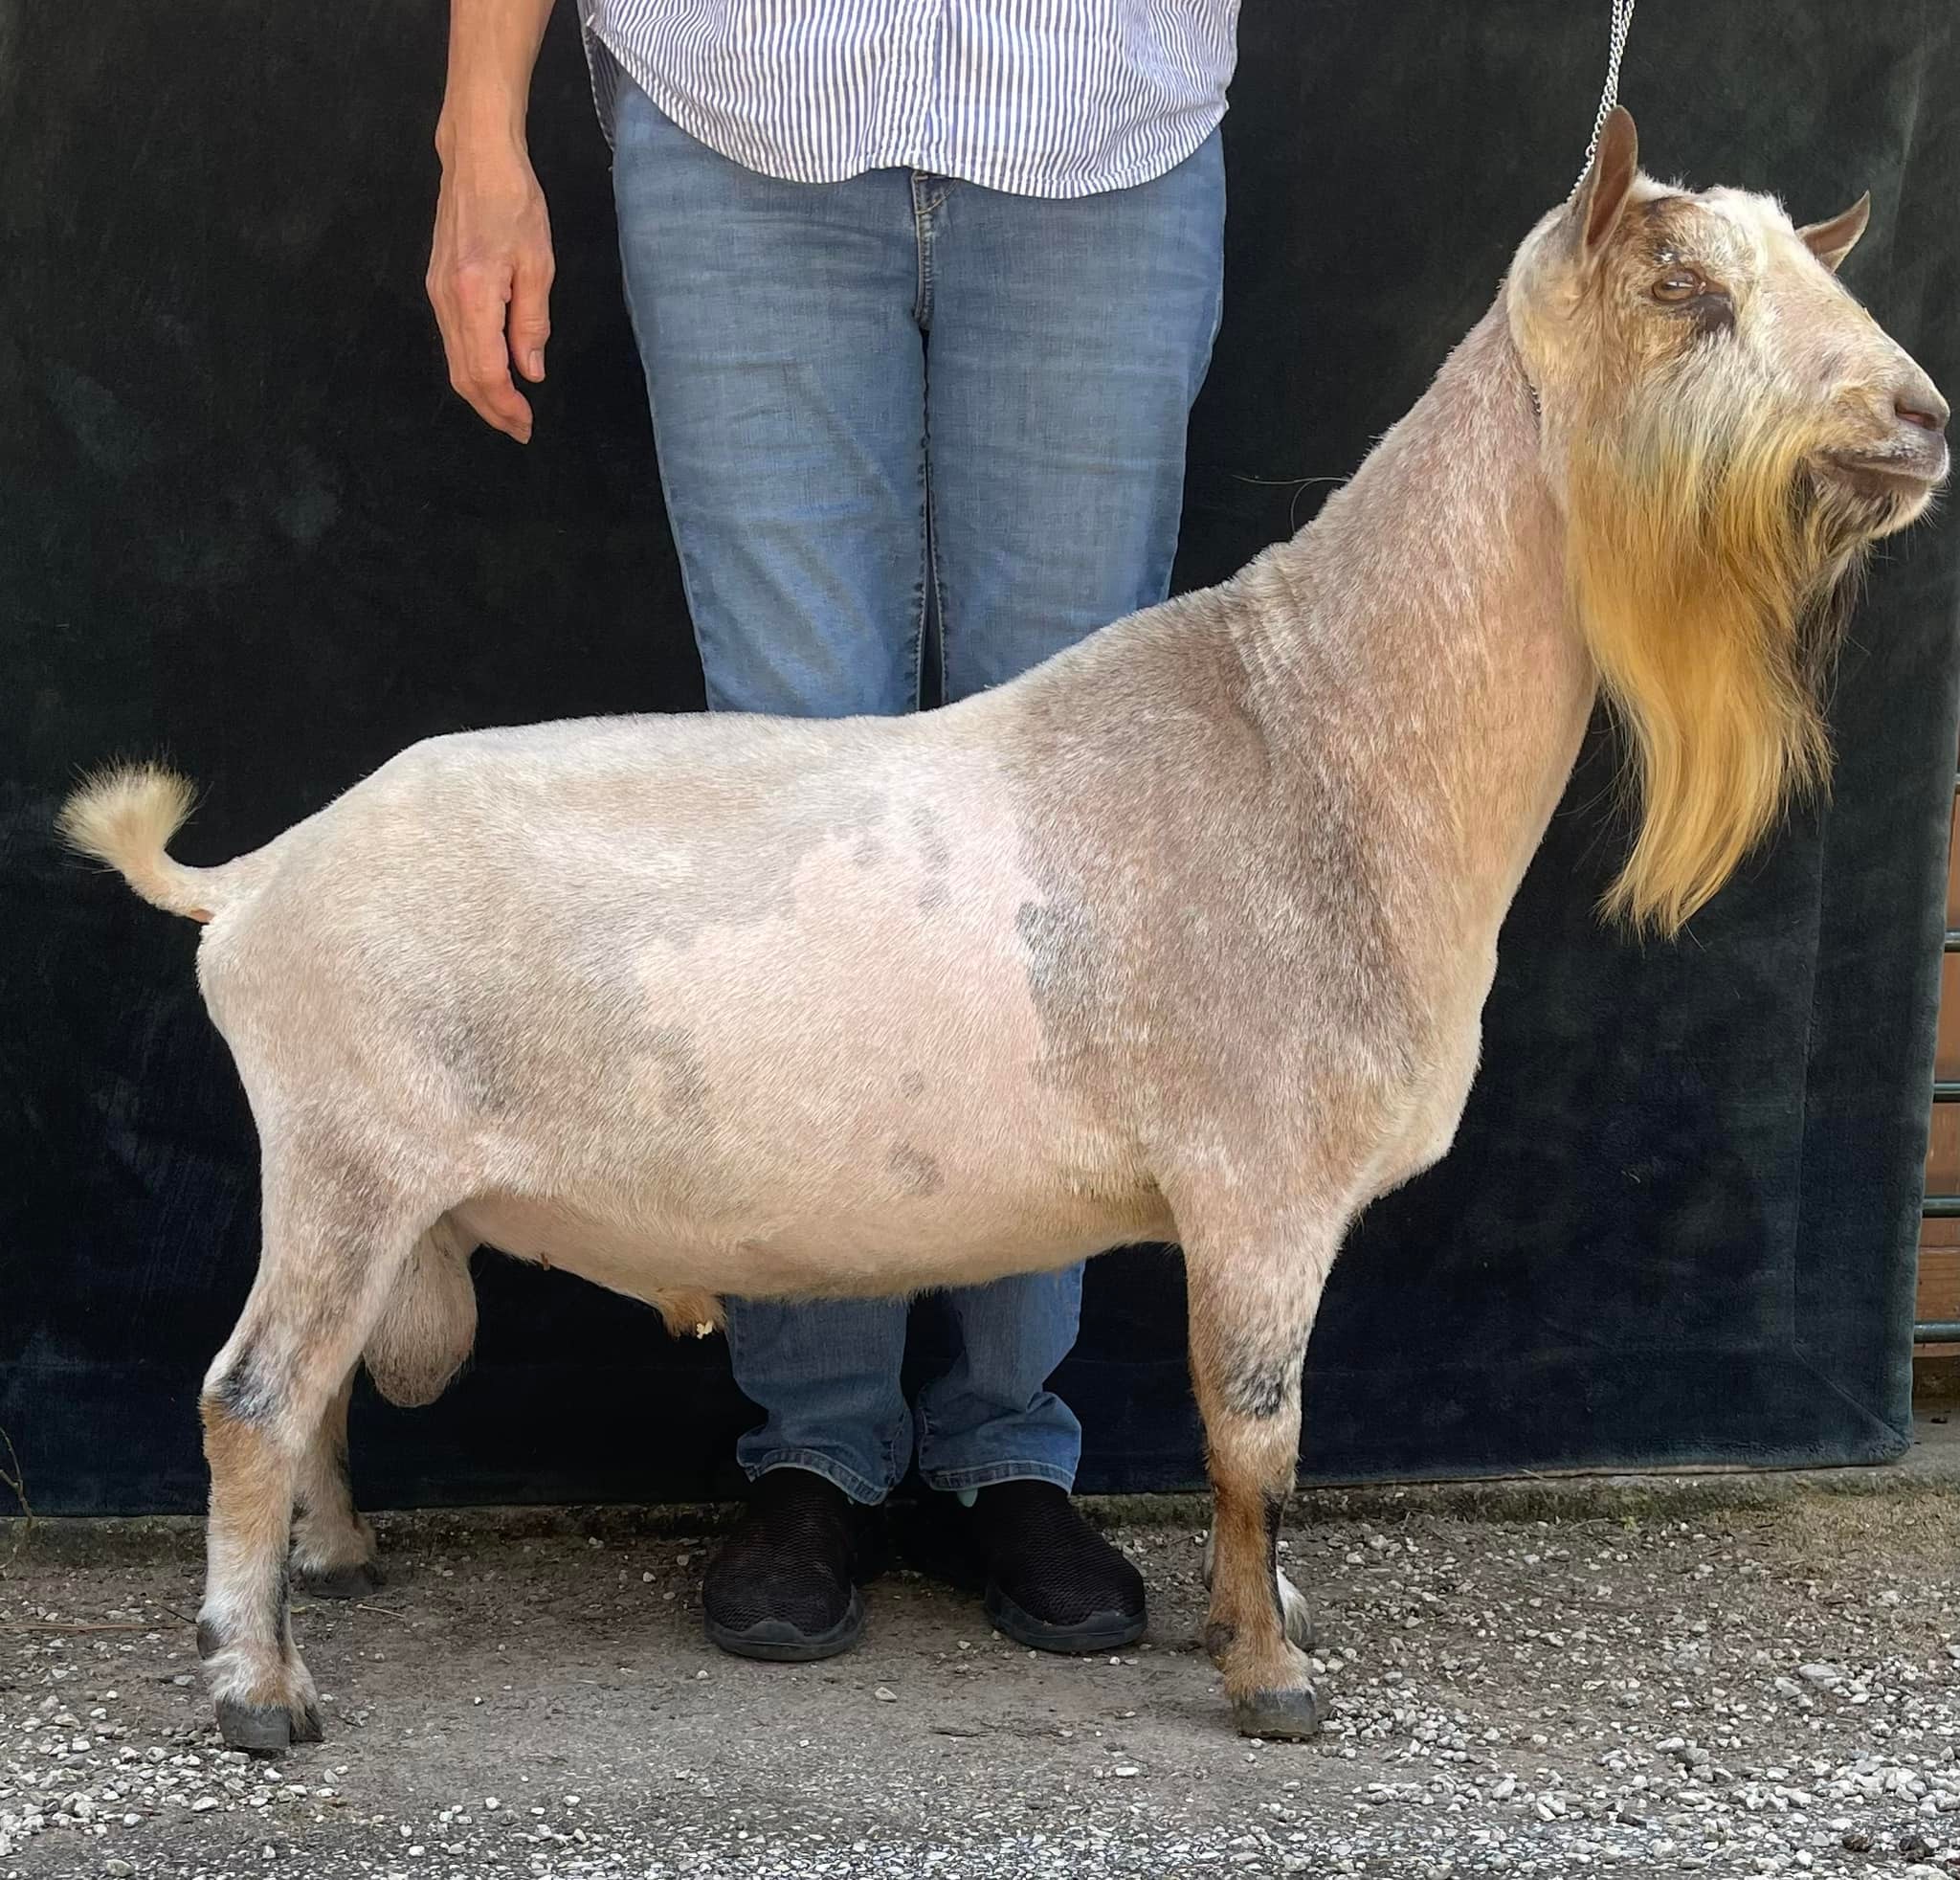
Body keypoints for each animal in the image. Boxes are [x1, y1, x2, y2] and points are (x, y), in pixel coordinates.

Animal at [61, 111, 1947, 1751]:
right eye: (1683, 286)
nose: (1921, 419)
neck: (1316, 734)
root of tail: (257, 880)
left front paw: (1269, 1614)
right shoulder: (1256, 1182)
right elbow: (1256, 1433)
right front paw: (1271, 1674)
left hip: (363, 1180)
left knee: (309, 1393)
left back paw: (328, 1568)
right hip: (349, 1144)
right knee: (248, 1394)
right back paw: (259, 1687)